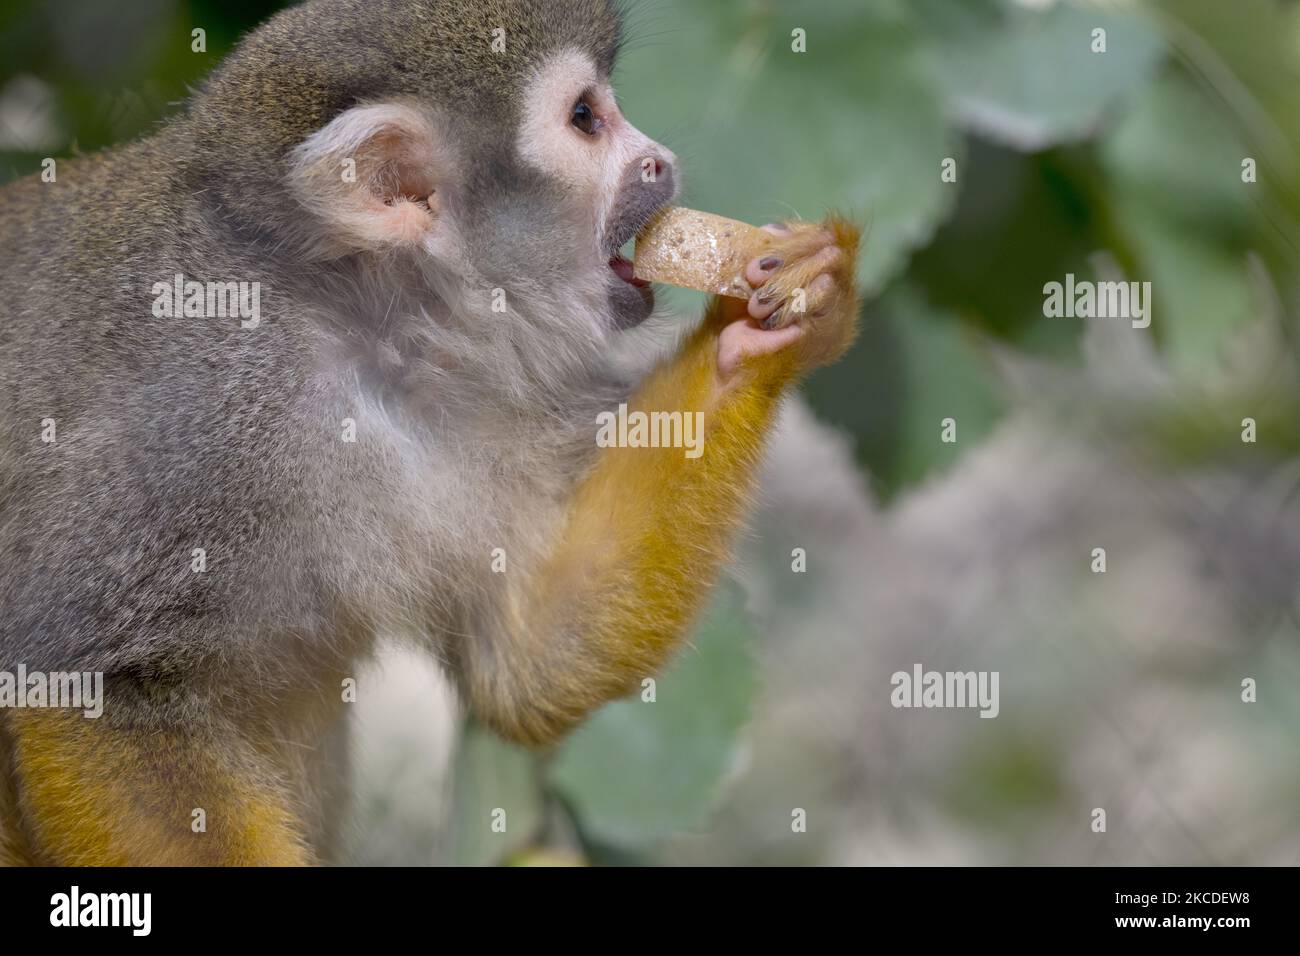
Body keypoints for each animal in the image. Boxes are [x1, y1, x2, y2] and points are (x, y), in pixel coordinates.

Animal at [0, 0, 861, 865]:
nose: (660, 161)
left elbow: (527, 664)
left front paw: (772, 329)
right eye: (586, 119)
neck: (365, 329)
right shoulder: (200, 418)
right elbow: (84, 683)